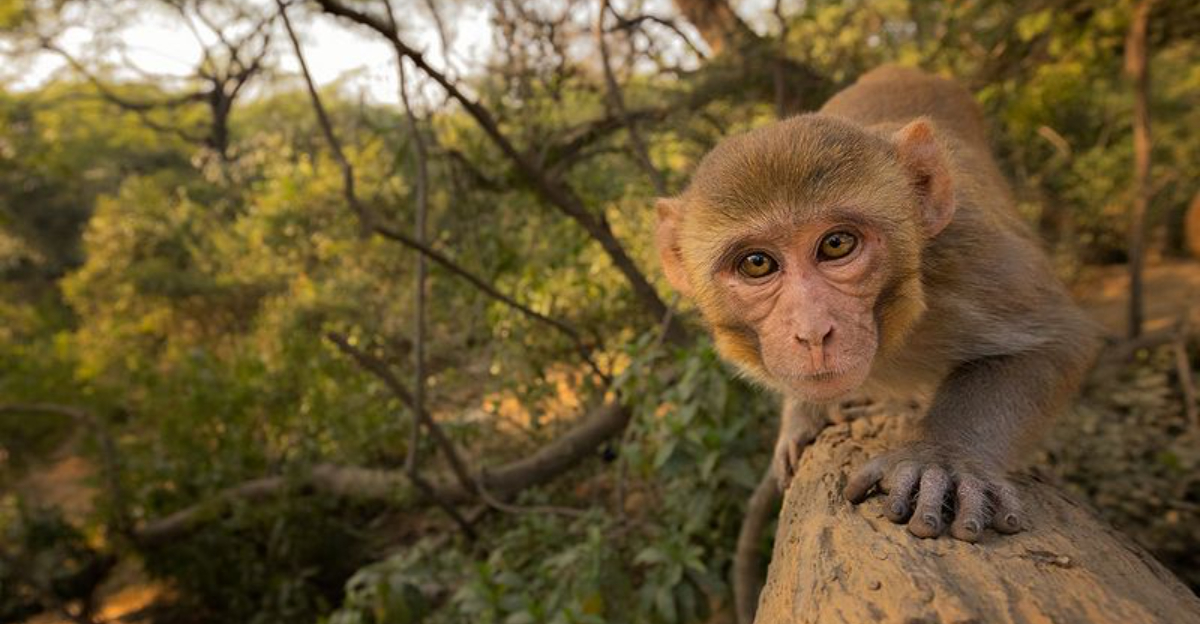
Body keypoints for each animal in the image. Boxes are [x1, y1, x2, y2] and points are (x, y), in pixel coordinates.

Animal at [655, 66, 1101, 541]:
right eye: (757, 264)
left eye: (836, 244)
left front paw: (940, 459)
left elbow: (1058, 341)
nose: (812, 331)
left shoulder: (969, 251)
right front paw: (801, 416)